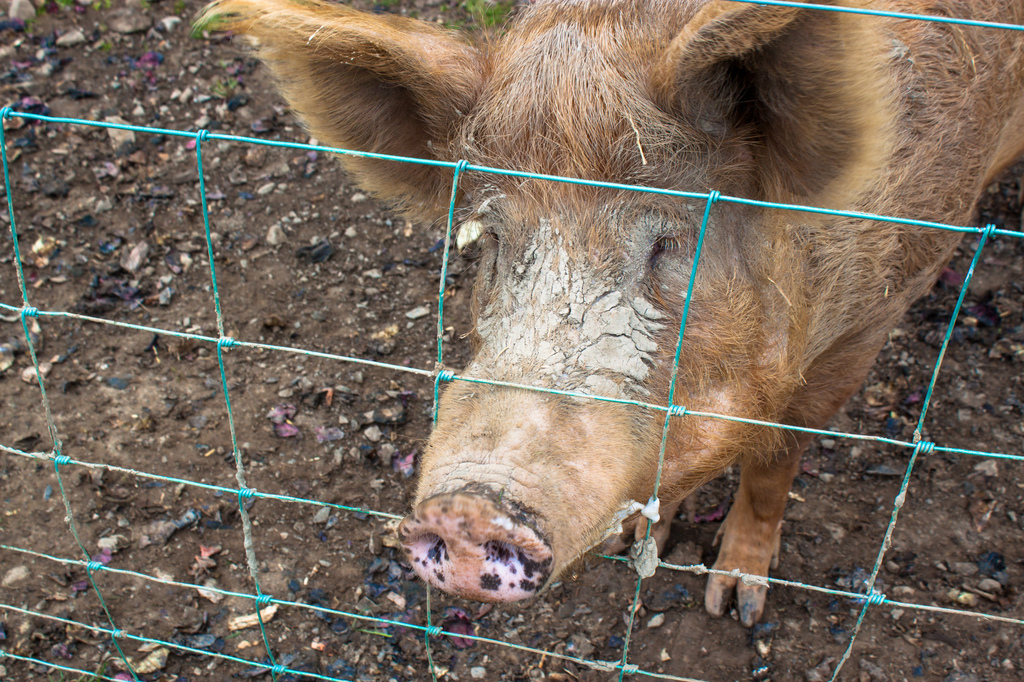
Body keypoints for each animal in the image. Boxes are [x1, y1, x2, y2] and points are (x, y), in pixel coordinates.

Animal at [199, 0, 1024, 626]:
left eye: (667, 246)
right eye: (490, 238)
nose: (467, 512)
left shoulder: (881, 308)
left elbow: (776, 458)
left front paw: (735, 606)